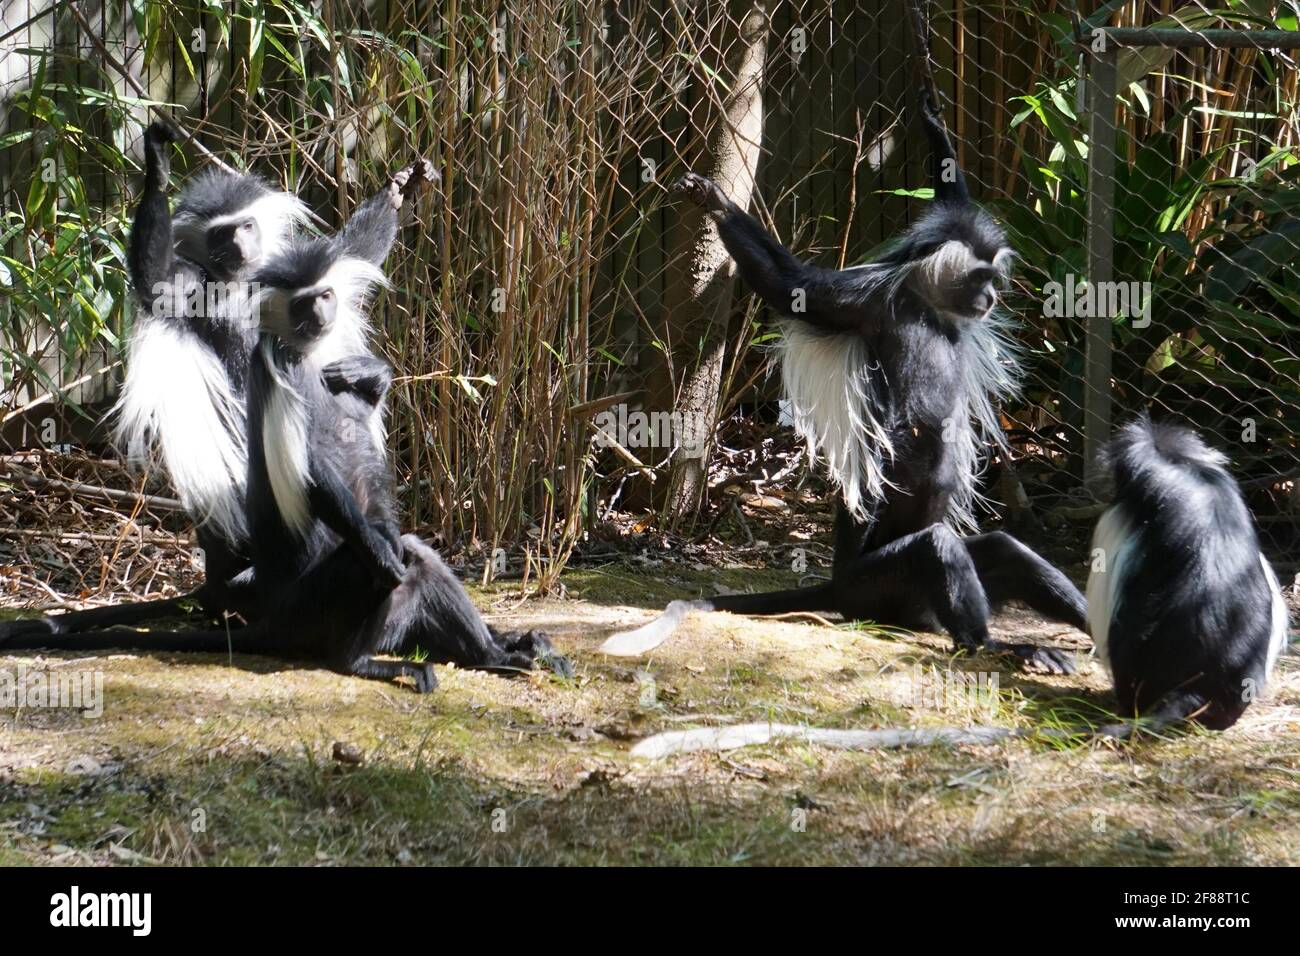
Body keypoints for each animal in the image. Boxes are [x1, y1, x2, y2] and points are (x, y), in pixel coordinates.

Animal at [603, 90, 1085, 673]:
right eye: (981, 277)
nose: (991, 298)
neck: (927, 306)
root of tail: (838, 589)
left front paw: (934, 126)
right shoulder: (866, 303)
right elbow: (790, 286)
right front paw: (715, 203)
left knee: (1002, 551)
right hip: (878, 584)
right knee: (937, 548)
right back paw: (998, 645)